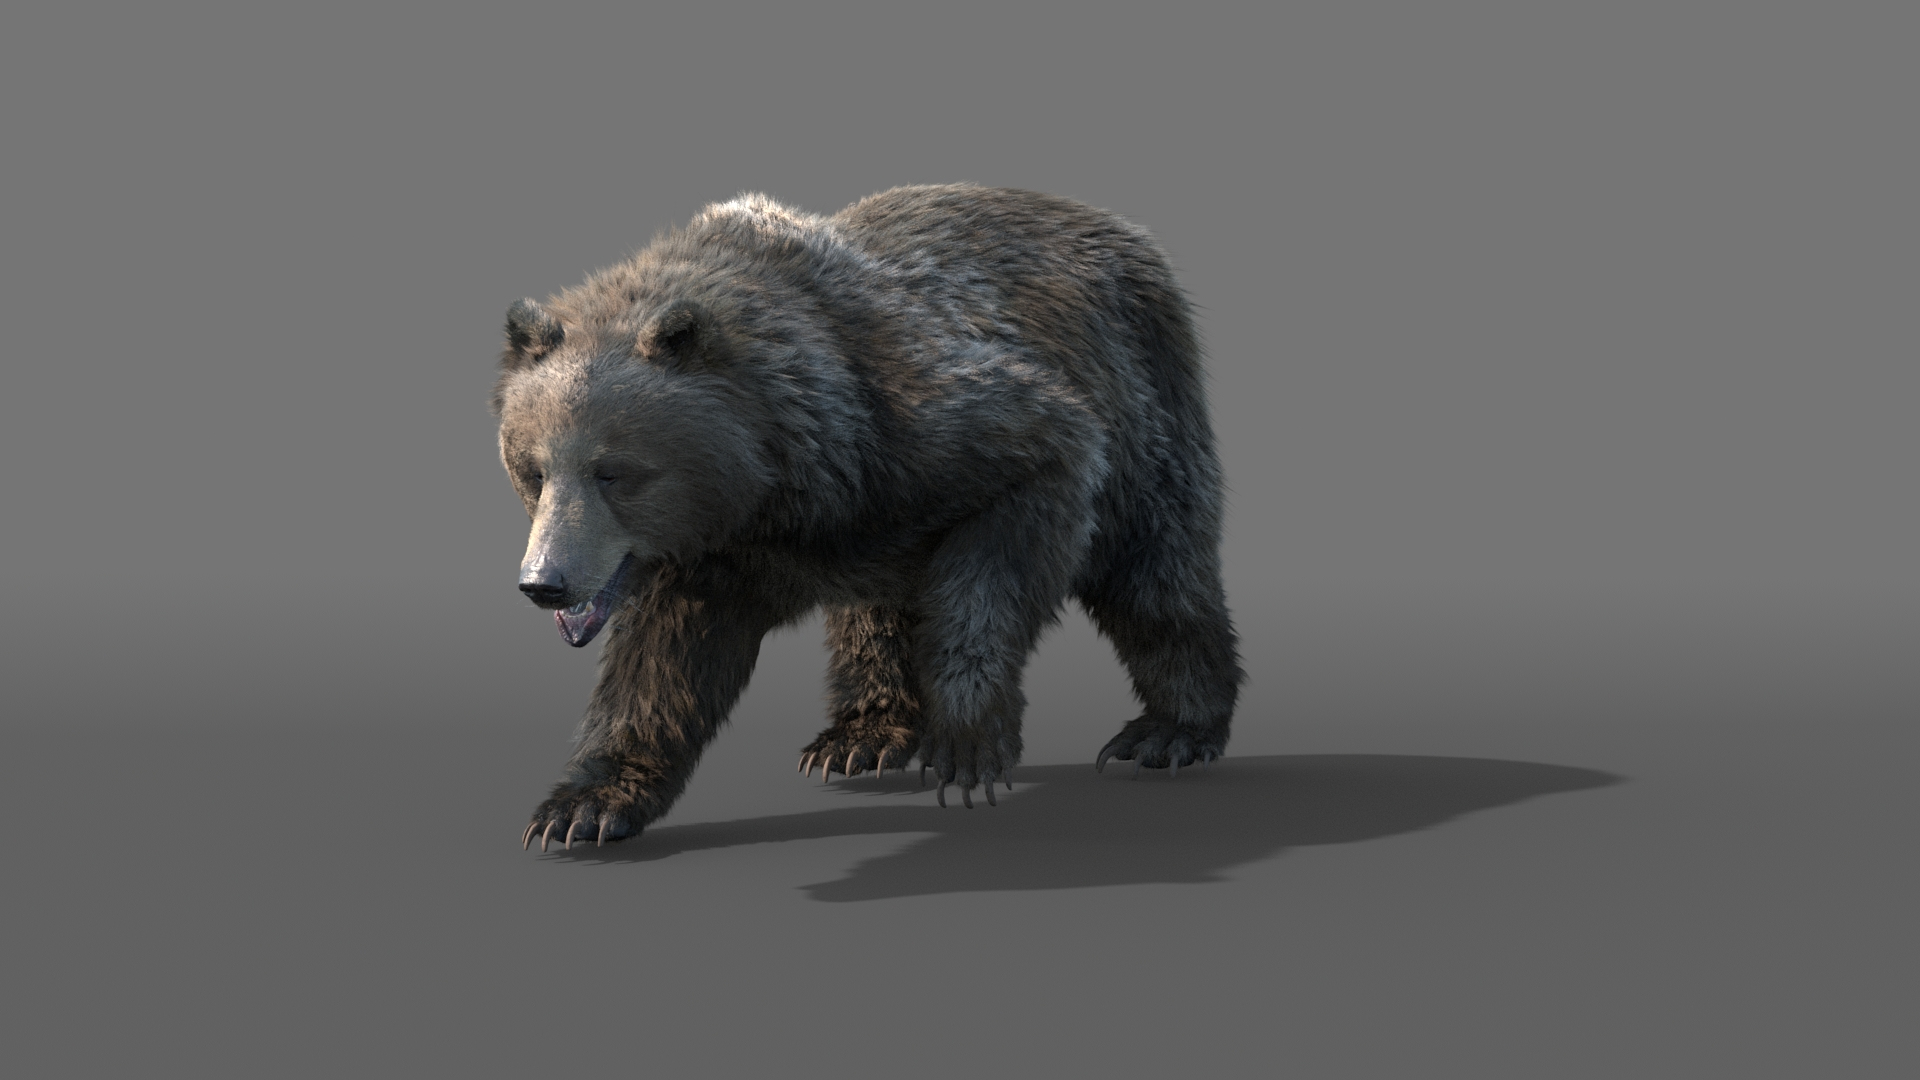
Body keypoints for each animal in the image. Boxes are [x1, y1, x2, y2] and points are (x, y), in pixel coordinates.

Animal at [493, 184, 1243, 850]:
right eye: (534, 469)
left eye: (613, 471)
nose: (544, 582)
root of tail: (1119, 225)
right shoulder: (709, 556)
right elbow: (660, 668)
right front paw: (580, 809)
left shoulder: (933, 424)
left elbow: (1013, 528)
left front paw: (967, 747)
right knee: (874, 616)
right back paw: (861, 735)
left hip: (1144, 394)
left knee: (1156, 562)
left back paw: (1168, 731)